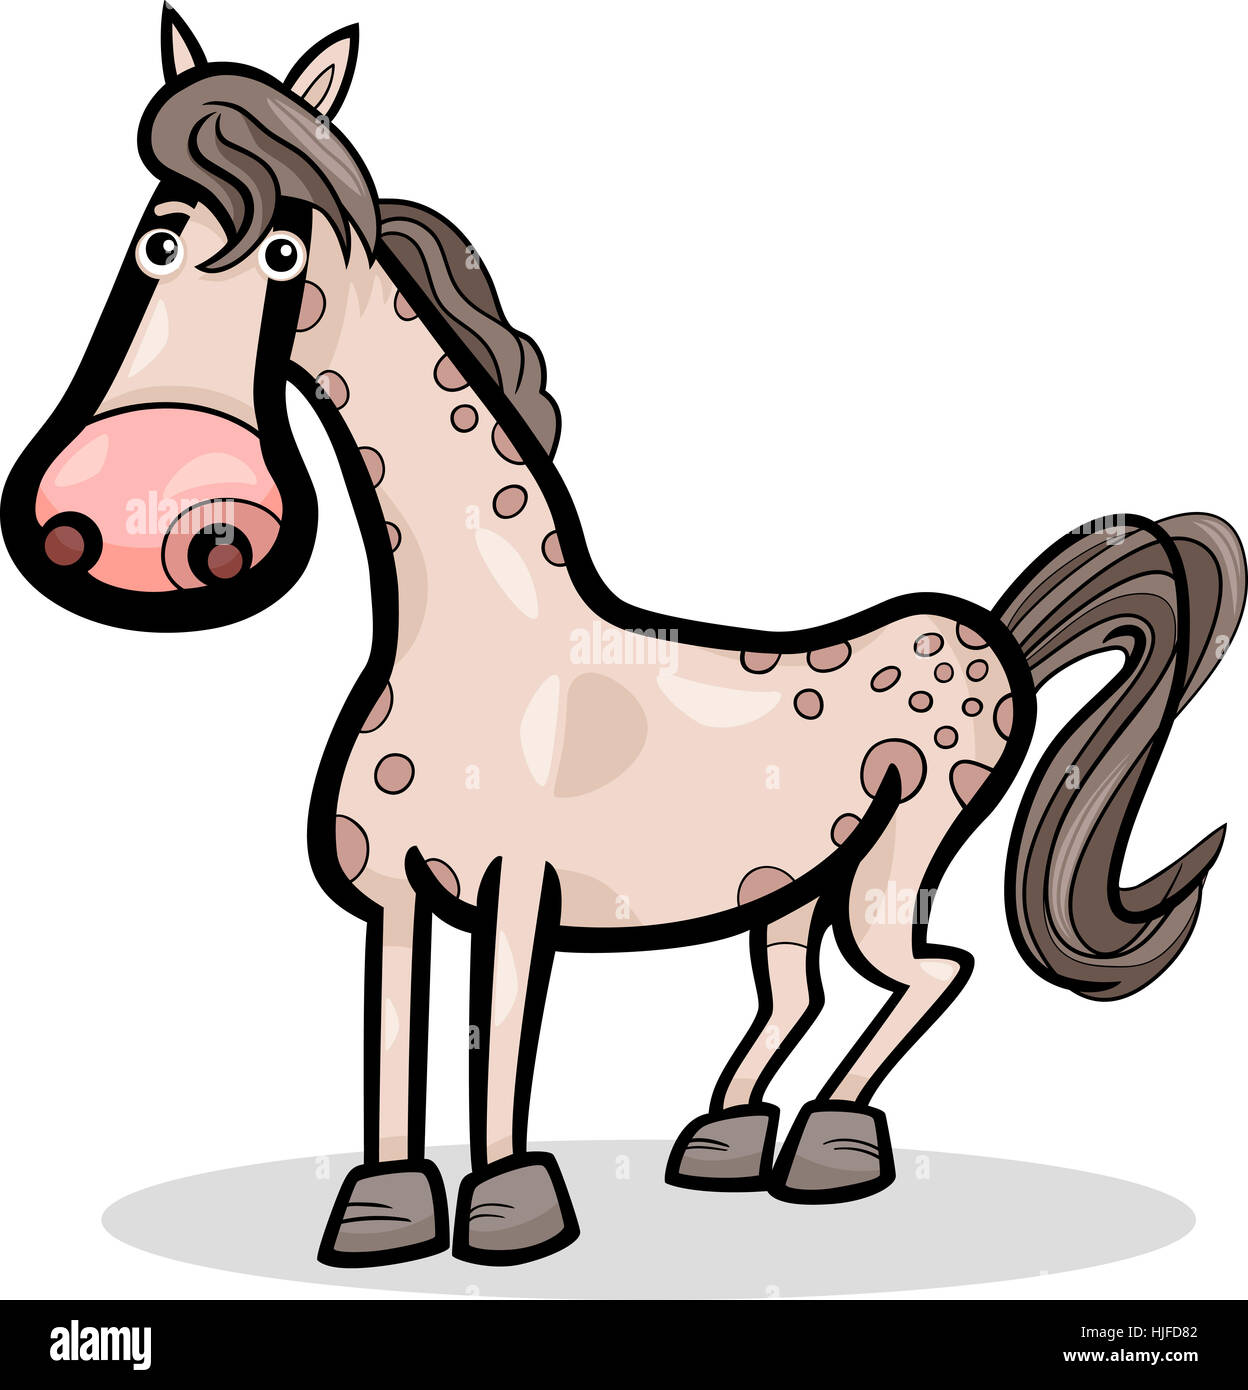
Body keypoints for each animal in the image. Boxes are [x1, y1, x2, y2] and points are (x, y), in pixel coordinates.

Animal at [3, 10, 1244, 1268]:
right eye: (157, 238)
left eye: (284, 253)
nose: (133, 527)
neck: (479, 639)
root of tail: (991, 636)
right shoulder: (394, 898)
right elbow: (394, 1043)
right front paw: (382, 1218)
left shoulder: (515, 892)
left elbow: (499, 1042)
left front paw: (511, 1214)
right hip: (789, 884)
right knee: (795, 995)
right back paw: (725, 1143)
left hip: (897, 863)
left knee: (930, 972)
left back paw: (831, 1148)